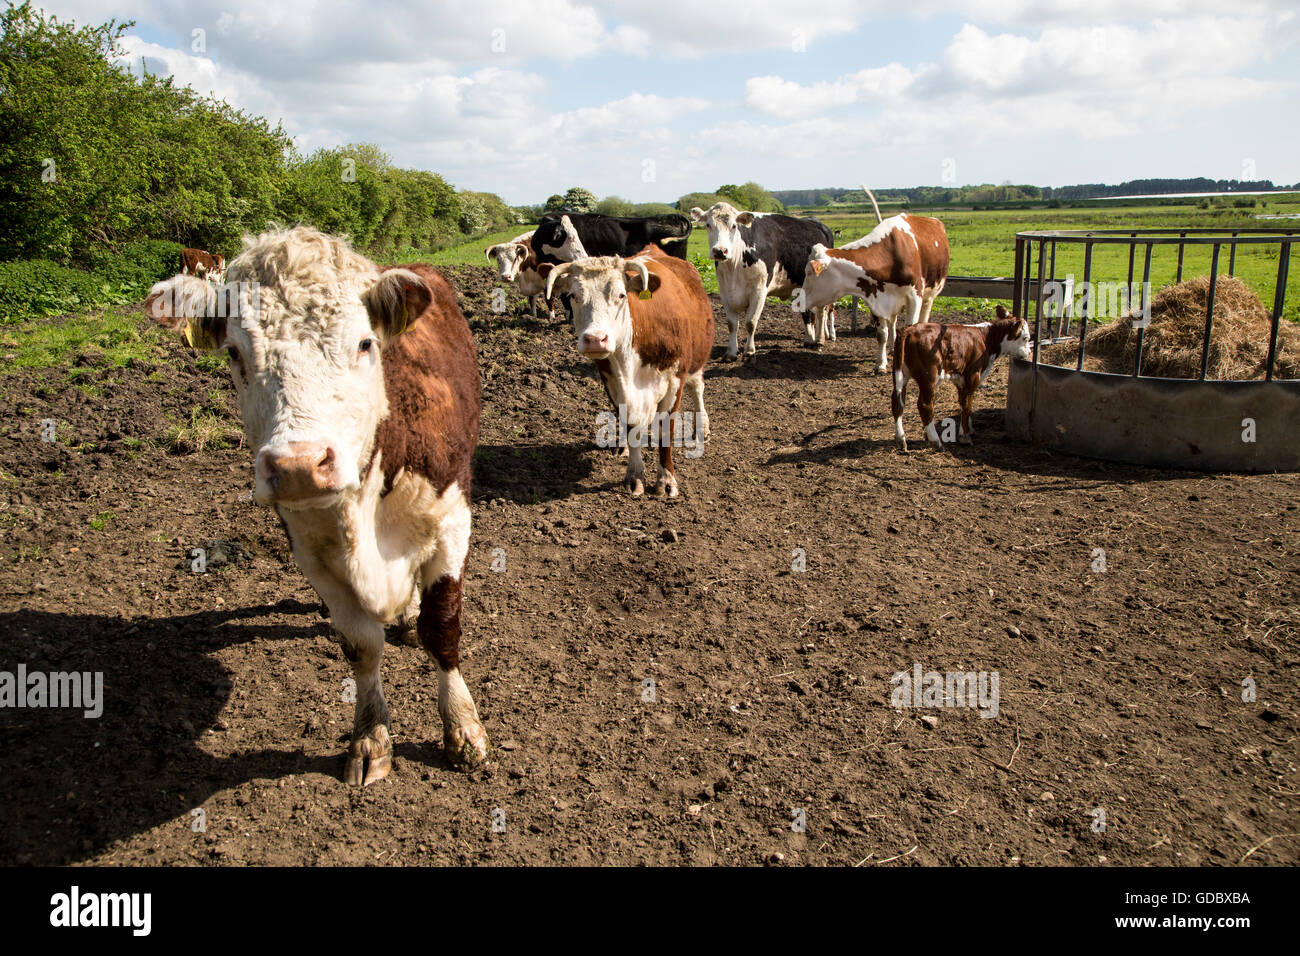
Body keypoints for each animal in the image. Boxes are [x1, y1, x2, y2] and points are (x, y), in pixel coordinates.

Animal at [146, 225, 488, 786]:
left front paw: (462, 729)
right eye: (235, 353)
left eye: (365, 343)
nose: (299, 466)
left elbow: (442, 628)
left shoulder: (451, 521)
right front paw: (370, 738)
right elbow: (360, 645)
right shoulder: (311, 550)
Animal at [541, 244, 711, 497]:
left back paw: (702, 428)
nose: (595, 339)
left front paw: (666, 480)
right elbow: (630, 426)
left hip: (697, 360)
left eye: (621, 295)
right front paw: (634, 475)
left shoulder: (674, 381)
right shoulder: (612, 381)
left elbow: (665, 432)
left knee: (697, 388)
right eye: (573, 296)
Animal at [688, 202, 834, 361]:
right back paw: (809, 339)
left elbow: (750, 322)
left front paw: (749, 351)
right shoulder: (725, 291)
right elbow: (732, 324)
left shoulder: (759, 290)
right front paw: (731, 352)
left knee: (822, 311)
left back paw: (820, 341)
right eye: (708, 225)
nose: (720, 251)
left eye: (734, 226)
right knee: (807, 312)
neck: (734, 267)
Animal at [801, 212, 950, 374]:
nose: (800, 299)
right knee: (892, 322)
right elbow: (881, 334)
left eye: (809, 273)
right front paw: (881, 364)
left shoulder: (914, 297)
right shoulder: (877, 299)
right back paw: (893, 348)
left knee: (923, 318)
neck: (891, 256)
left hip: (930, 295)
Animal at [890, 305, 1033, 452]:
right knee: (924, 405)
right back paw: (936, 442)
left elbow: (963, 401)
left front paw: (968, 430)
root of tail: (910, 329)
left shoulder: (961, 378)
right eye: (1025, 338)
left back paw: (901, 439)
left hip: (900, 373)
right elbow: (967, 404)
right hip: (929, 377)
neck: (986, 338)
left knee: (897, 402)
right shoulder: (973, 374)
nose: (1029, 353)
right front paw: (965, 436)